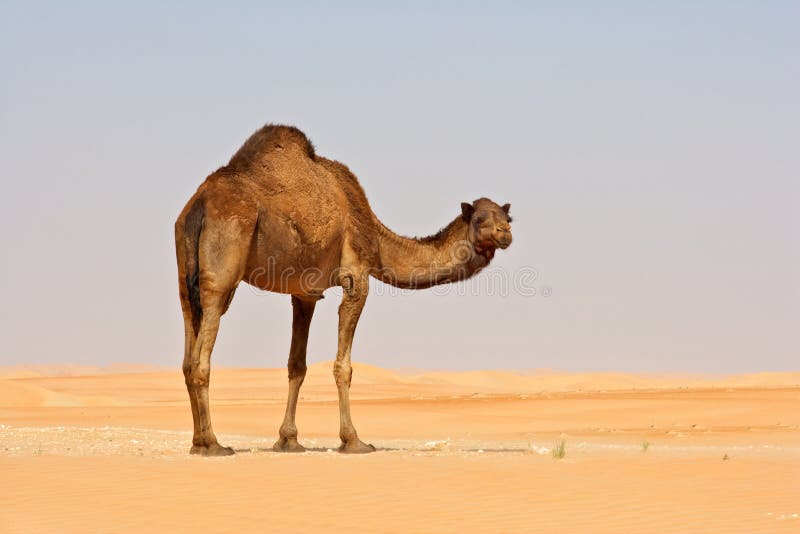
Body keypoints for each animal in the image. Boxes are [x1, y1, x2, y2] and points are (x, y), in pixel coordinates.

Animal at [174, 124, 512, 456]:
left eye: (507, 217)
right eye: (481, 219)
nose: (505, 233)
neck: (374, 237)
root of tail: (199, 204)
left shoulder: (305, 293)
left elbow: (297, 365)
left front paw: (289, 441)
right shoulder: (357, 276)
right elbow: (343, 367)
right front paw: (353, 441)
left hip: (184, 273)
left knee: (188, 353)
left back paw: (197, 442)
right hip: (225, 261)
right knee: (204, 352)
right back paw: (214, 444)